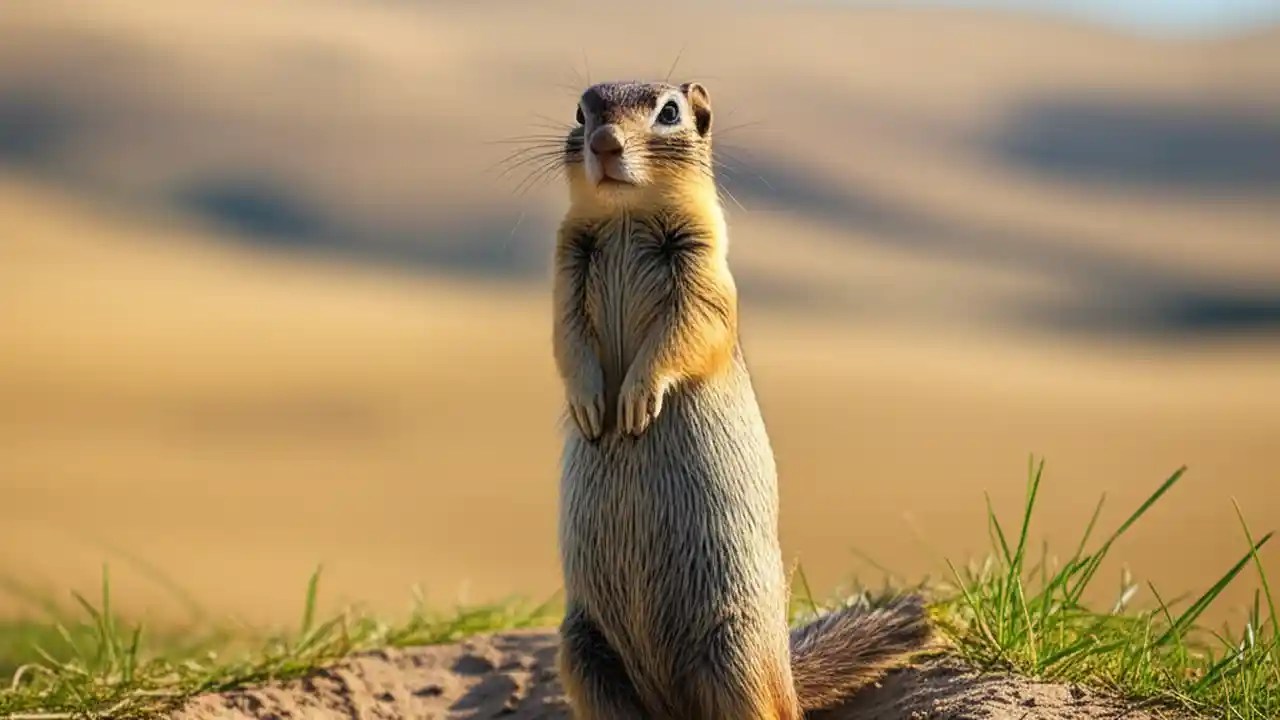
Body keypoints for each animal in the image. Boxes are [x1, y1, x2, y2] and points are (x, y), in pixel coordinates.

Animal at [550, 80, 933, 719]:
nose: (603, 143)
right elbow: (566, 339)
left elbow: (687, 331)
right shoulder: (564, 271)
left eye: (670, 112)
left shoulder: (705, 270)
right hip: (583, 650)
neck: (627, 217)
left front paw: (636, 401)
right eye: (580, 111)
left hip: (735, 651)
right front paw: (588, 405)